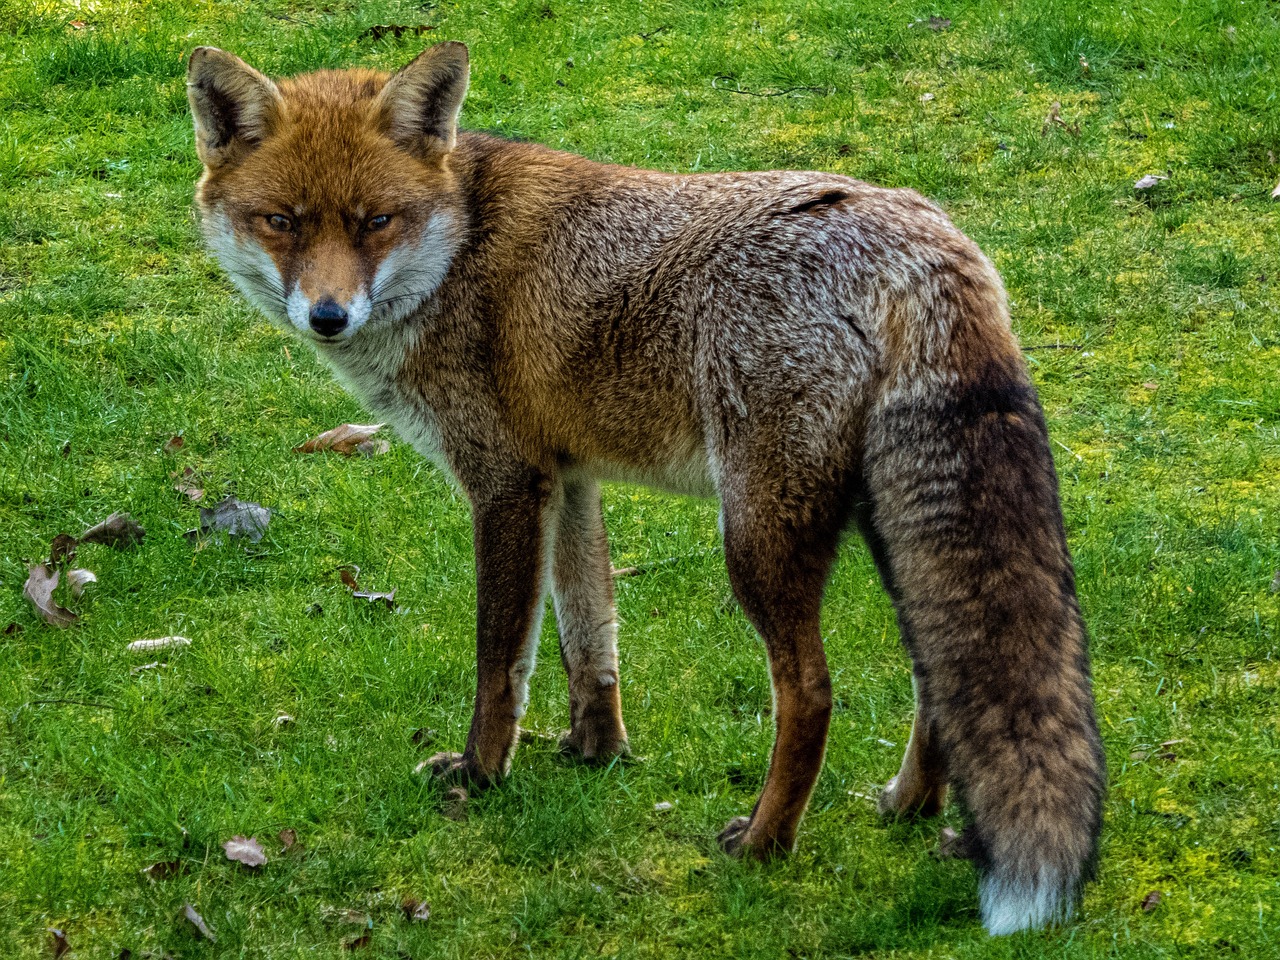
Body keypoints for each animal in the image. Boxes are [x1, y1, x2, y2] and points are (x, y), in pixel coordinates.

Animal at [187, 41, 1106, 934]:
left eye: (376, 222)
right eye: (281, 222)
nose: (328, 316)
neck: (459, 247)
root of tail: (922, 243)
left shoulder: (505, 484)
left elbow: (500, 663)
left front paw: (482, 773)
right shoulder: (569, 480)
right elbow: (589, 637)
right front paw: (597, 752)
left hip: (756, 537)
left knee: (811, 693)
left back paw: (767, 841)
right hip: (888, 524)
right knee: (936, 673)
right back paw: (910, 805)